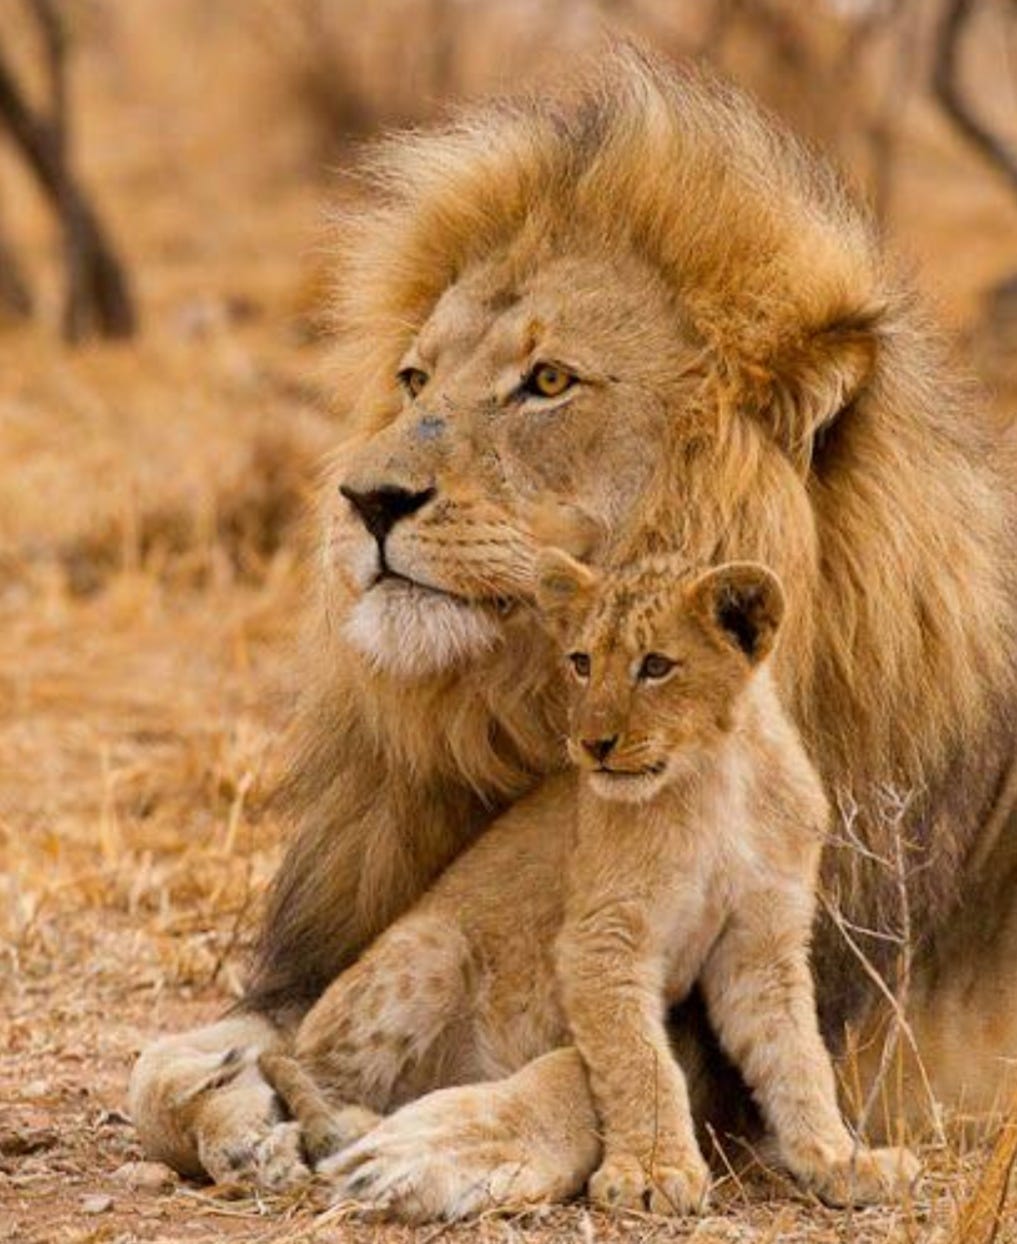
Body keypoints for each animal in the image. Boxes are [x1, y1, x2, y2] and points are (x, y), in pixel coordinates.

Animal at [129, 48, 1017, 1219]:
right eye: (415, 379)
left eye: (547, 381)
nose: (362, 498)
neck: (511, 720)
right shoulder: (346, 955)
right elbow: (164, 1067)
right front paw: (245, 1118)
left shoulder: (814, 986)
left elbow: (611, 1067)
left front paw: (436, 1144)